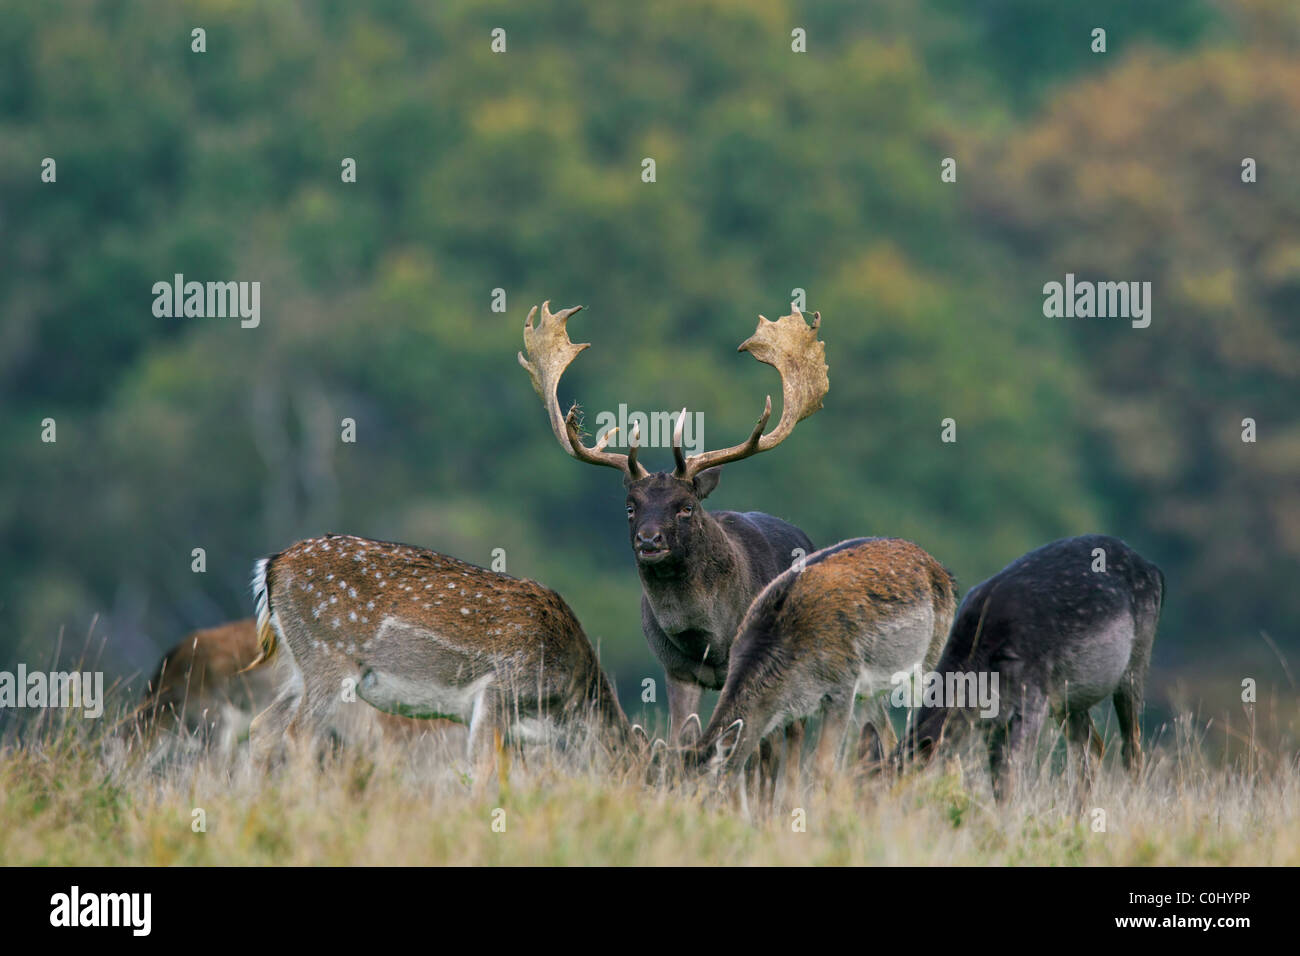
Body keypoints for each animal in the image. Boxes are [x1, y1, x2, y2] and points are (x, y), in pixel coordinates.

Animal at [245, 534, 635, 771]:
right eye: (643, 773)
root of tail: (272, 565)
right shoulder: (500, 690)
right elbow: (481, 766)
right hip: (328, 657)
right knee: (300, 733)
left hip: (298, 666)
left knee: (262, 726)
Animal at [519, 301, 828, 778]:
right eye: (630, 506)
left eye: (685, 506)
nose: (649, 540)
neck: (706, 636)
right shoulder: (675, 668)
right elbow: (683, 738)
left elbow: (746, 747)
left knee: (787, 744)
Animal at [675, 537, 956, 810]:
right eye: (669, 783)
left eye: (700, 791)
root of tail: (942, 571)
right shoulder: (795, 710)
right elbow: (787, 777)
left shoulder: (842, 686)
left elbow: (823, 767)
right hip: (870, 692)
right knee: (888, 736)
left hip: (930, 658)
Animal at [897, 534, 1164, 802]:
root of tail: (1155, 570)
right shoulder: (993, 722)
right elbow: (999, 781)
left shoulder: (1032, 699)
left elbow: (1011, 777)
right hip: (1069, 698)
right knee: (1092, 748)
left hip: (1136, 661)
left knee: (1132, 747)